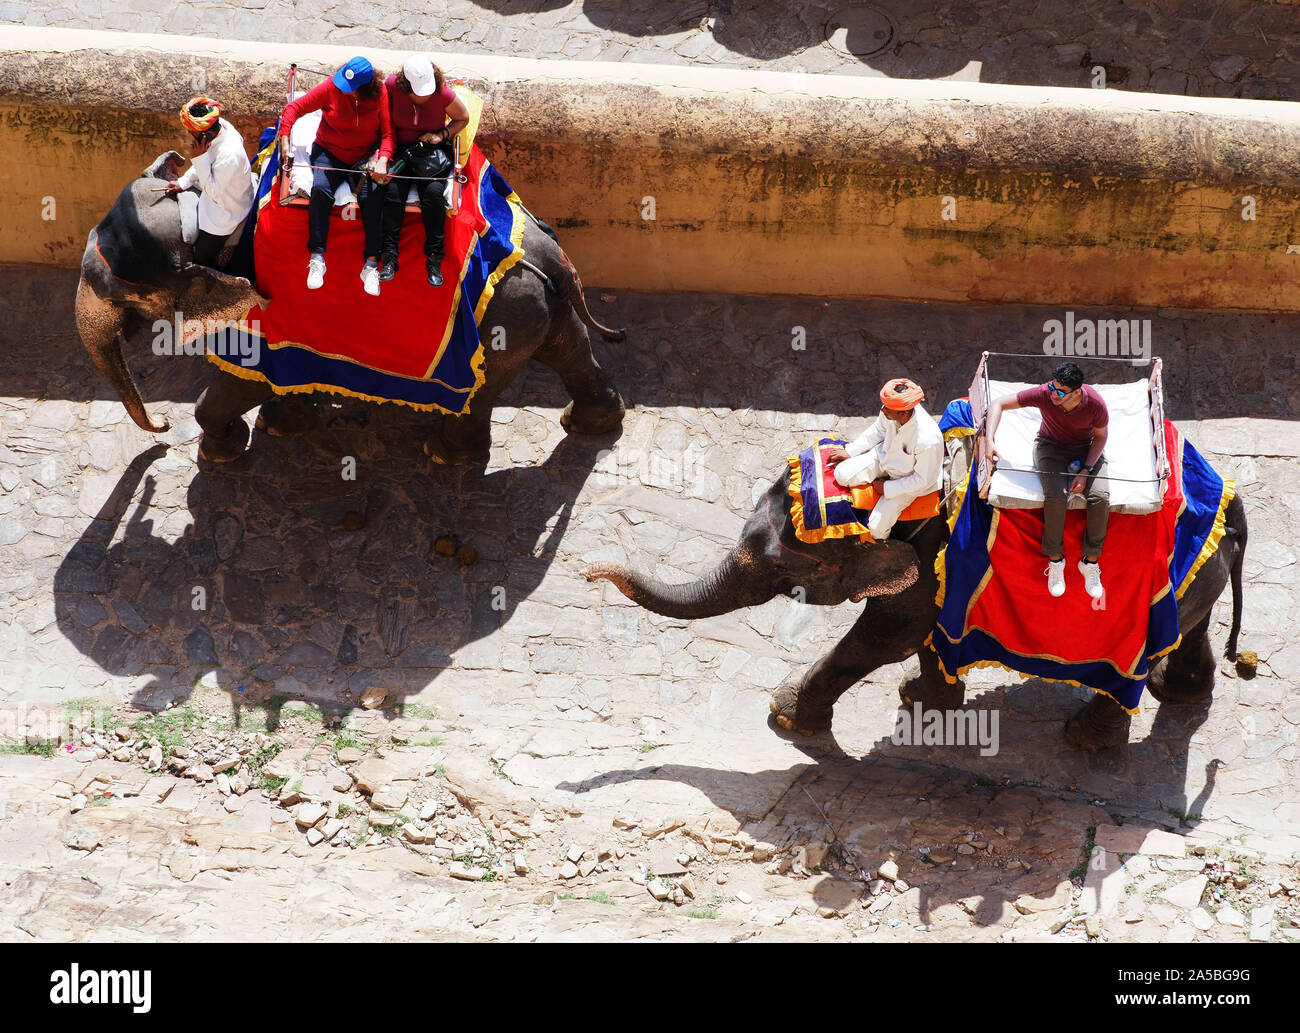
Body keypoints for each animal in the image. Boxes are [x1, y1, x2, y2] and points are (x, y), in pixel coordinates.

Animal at [75, 151, 626, 466]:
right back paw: (591, 422)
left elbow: (242, 380)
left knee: (482, 390)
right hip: (538, 308)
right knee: (569, 347)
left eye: (127, 294)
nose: (162, 432)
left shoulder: (264, 310)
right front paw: (283, 424)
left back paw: (445, 456)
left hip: (503, 322)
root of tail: (545, 257)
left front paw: (221, 452)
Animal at [584, 457, 1247, 751]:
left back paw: (1086, 738)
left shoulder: (926, 564)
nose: (589, 571)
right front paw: (922, 700)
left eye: (791, 568)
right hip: (1196, 577)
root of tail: (1232, 504)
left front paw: (787, 719)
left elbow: (886, 635)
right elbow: (922, 635)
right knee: (1191, 628)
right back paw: (1179, 691)